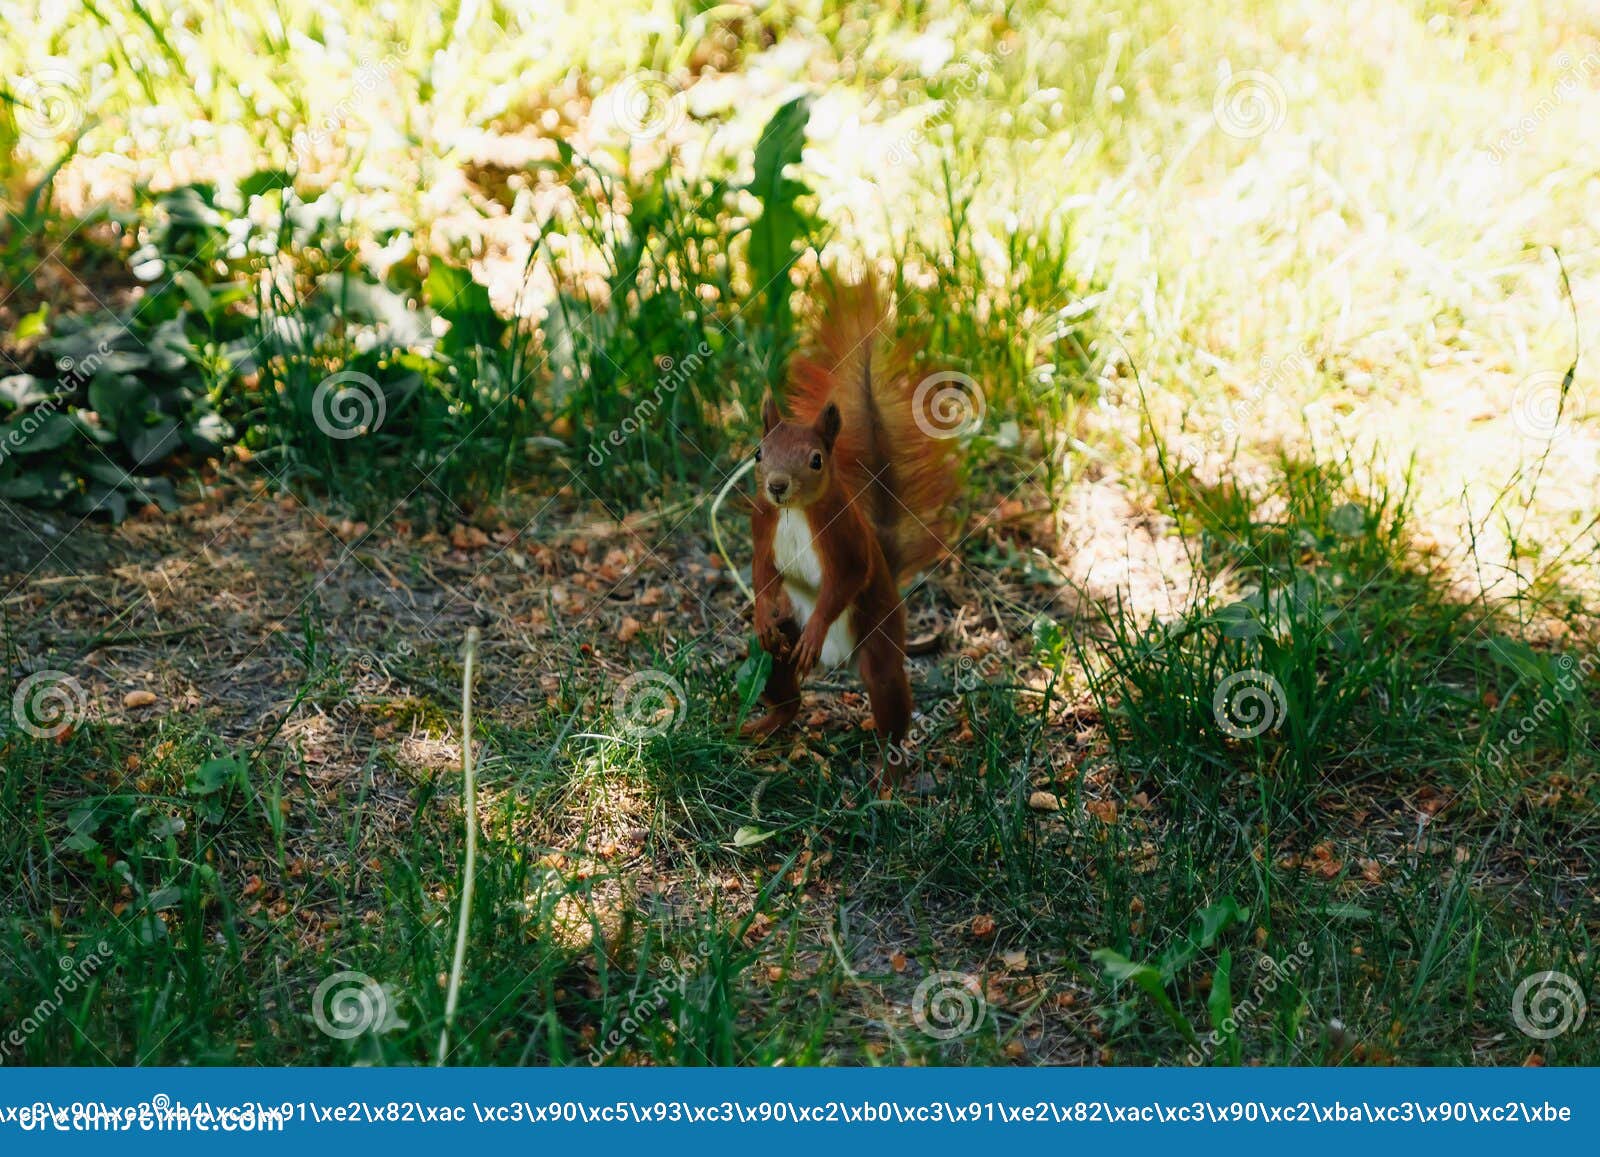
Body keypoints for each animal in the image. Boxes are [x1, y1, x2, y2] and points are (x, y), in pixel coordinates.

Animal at [744, 277, 960, 791]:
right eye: (759, 453)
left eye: (816, 460)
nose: (776, 486)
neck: (794, 512)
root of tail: (836, 663)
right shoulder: (764, 524)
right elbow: (763, 570)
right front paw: (761, 613)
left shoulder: (842, 536)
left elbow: (846, 577)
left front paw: (819, 623)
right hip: (783, 647)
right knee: (784, 680)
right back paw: (768, 722)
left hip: (878, 640)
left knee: (889, 703)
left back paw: (889, 775)